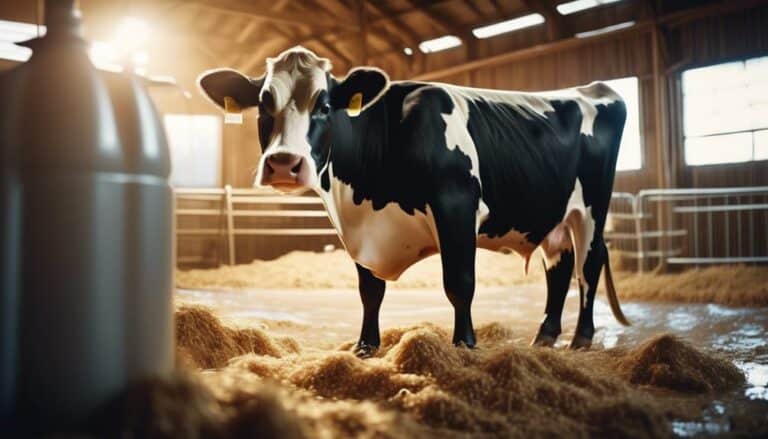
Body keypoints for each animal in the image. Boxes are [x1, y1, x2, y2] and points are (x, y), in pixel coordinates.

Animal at [198, 46, 629, 358]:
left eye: (324, 106)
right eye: (263, 104)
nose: (284, 163)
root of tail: (591, 89)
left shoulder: (457, 206)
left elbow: (459, 282)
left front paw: (464, 344)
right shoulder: (359, 229)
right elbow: (369, 291)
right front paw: (365, 346)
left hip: (591, 210)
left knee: (588, 265)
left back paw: (581, 339)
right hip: (550, 215)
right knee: (558, 267)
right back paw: (544, 338)